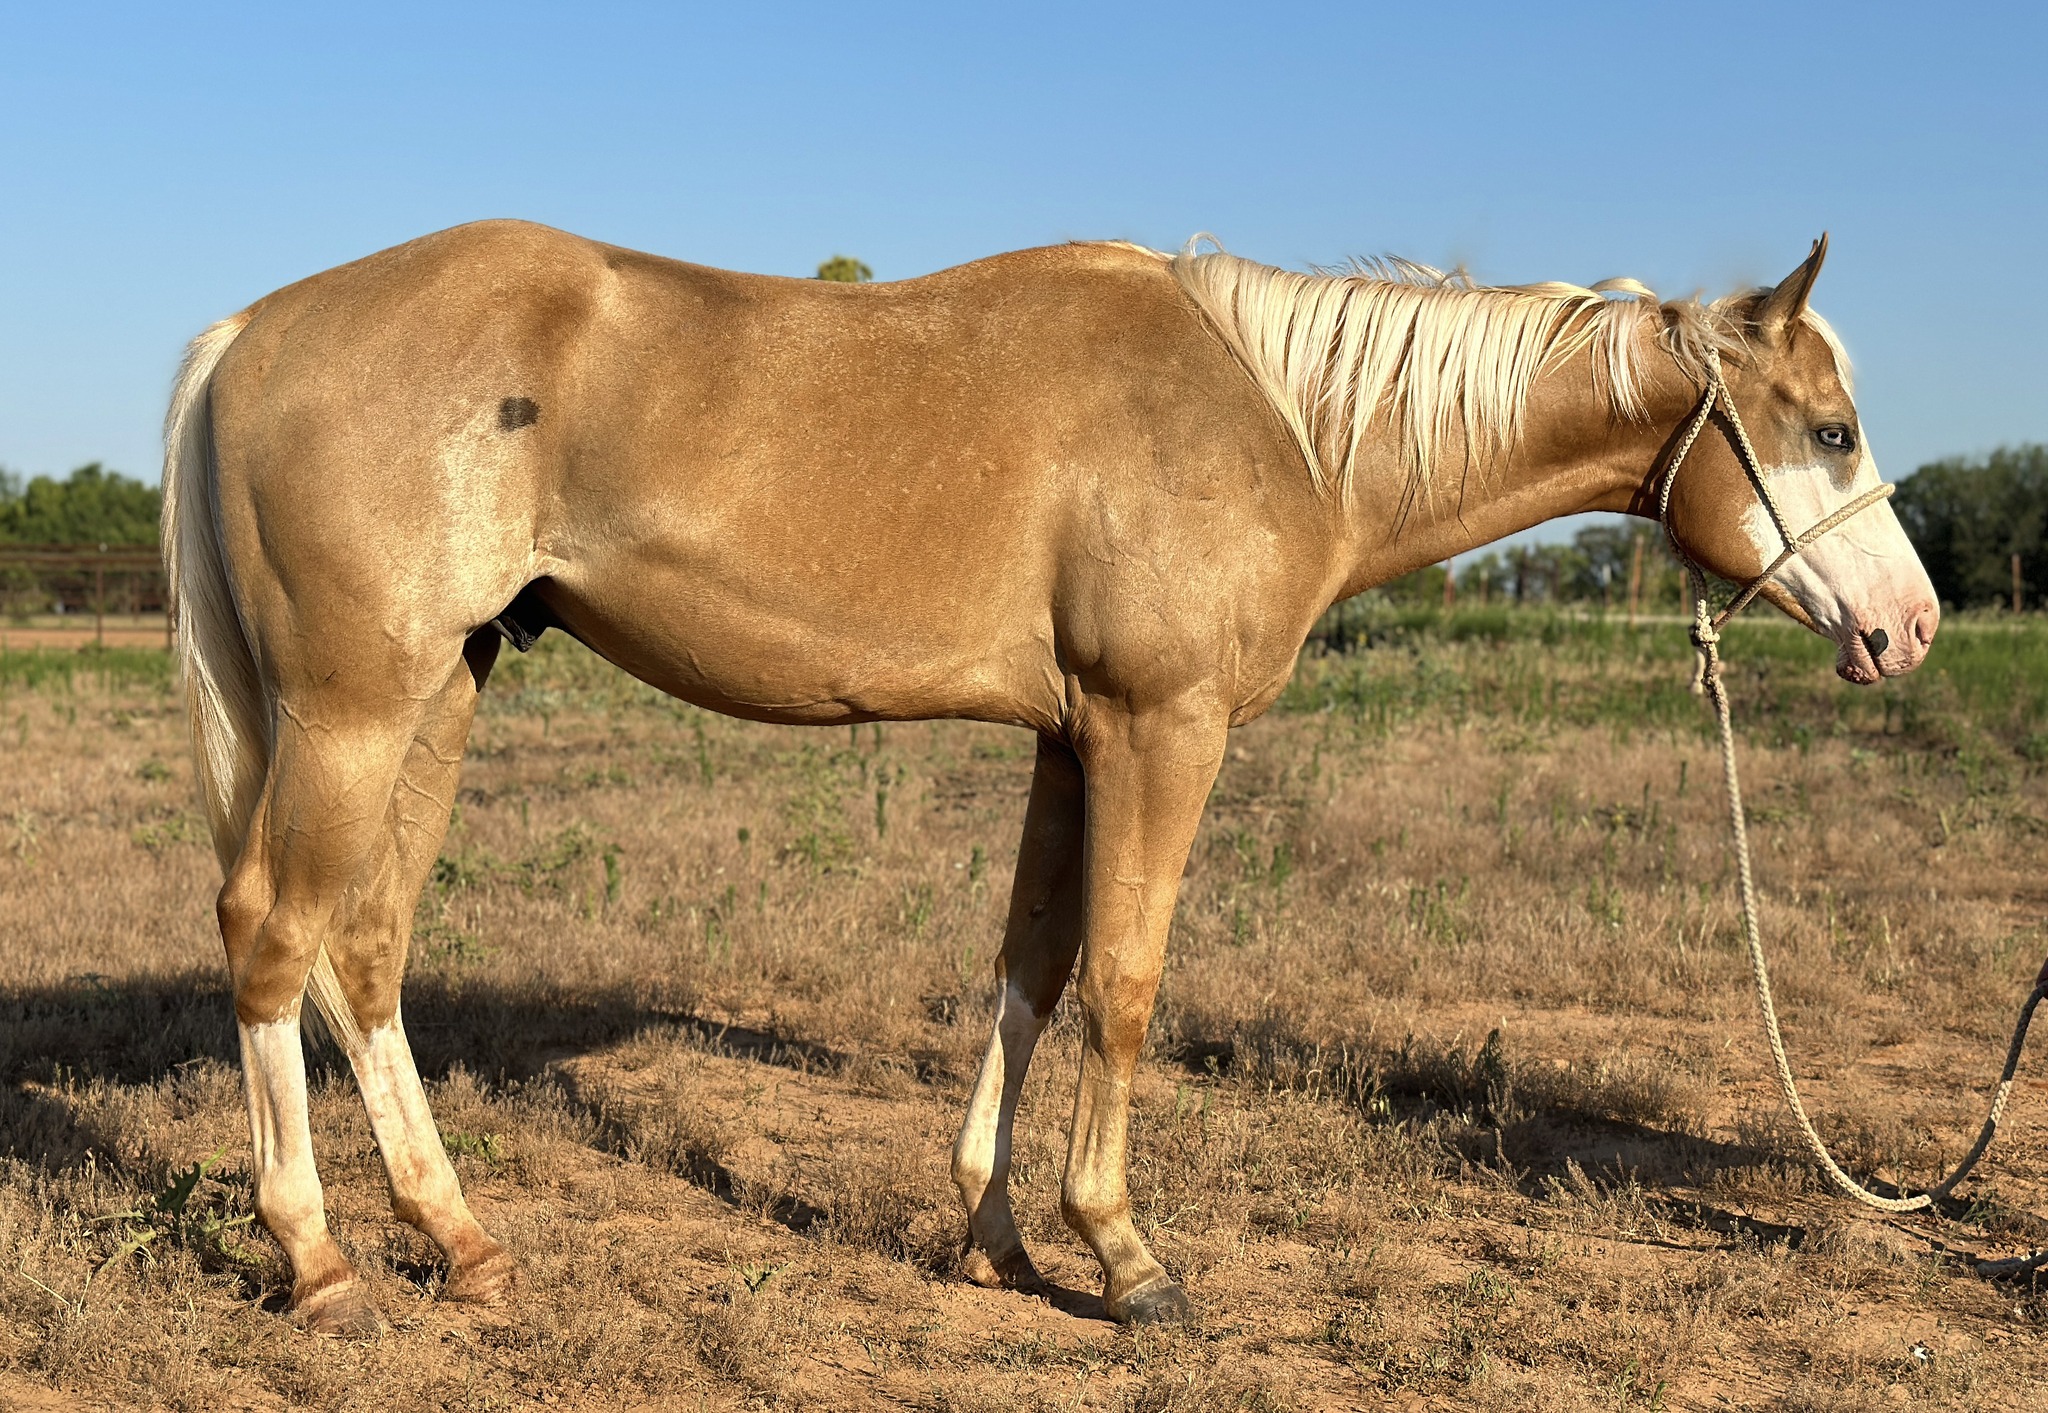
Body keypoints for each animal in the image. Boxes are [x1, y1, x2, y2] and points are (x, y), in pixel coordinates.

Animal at [161, 222, 1938, 1334]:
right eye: (1832, 429)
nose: (1911, 626)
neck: (1279, 422)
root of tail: (249, 329)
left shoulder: (1071, 741)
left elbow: (1031, 967)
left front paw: (994, 1235)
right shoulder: (1160, 729)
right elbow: (1128, 985)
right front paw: (1128, 1259)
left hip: (439, 695)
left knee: (364, 953)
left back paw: (459, 1244)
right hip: (353, 710)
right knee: (270, 938)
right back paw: (319, 1261)